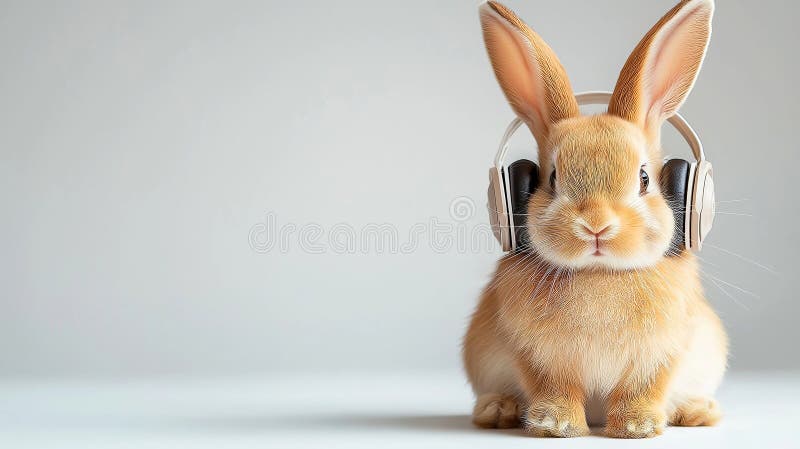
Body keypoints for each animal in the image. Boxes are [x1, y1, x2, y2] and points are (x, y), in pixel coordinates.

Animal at [463, 0, 727, 439]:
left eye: (644, 179)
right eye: (552, 178)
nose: (596, 225)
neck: (599, 274)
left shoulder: (662, 354)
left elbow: (645, 387)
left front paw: (637, 426)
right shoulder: (537, 356)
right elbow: (553, 386)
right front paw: (555, 424)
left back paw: (698, 412)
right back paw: (498, 410)